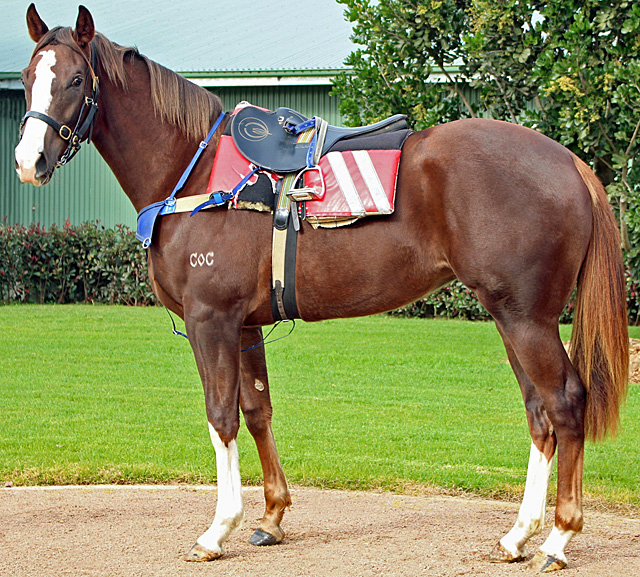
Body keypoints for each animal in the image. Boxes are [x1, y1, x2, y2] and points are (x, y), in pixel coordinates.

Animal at [15, 4, 628, 572]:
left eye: (76, 79)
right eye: (26, 76)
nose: (27, 161)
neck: (197, 170)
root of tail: (569, 163)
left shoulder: (210, 319)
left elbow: (220, 415)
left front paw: (217, 530)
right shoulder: (245, 325)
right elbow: (256, 410)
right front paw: (271, 517)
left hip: (527, 319)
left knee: (565, 404)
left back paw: (558, 539)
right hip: (511, 317)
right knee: (539, 415)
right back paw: (518, 535)